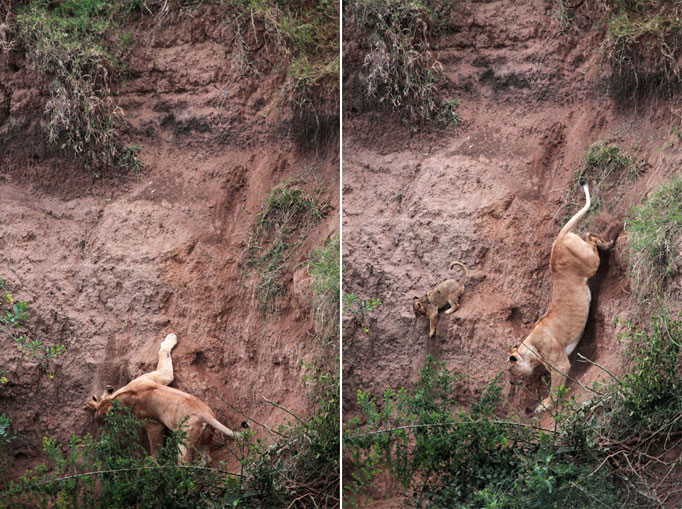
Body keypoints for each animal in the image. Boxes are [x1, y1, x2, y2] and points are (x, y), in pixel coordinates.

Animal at [85, 333, 243, 463]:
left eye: (103, 422)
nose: (101, 430)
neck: (121, 396)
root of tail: (205, 414)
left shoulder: (152, 423)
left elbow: (155, 446)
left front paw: (153, 462)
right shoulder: (159, 376)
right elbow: (164, 356)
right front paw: (171, 338)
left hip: (185, 440)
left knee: (186, 463)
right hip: (206, 436)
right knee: (206, 458)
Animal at [508, 179, 613, 414]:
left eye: (511, 371)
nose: (512, 383)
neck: (531, 348)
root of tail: (558, 237)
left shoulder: (560, 364)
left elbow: (555, 388)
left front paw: (544, 405)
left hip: (589, 263)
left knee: (591, 238)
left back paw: (607, 242)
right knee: (588, 235)